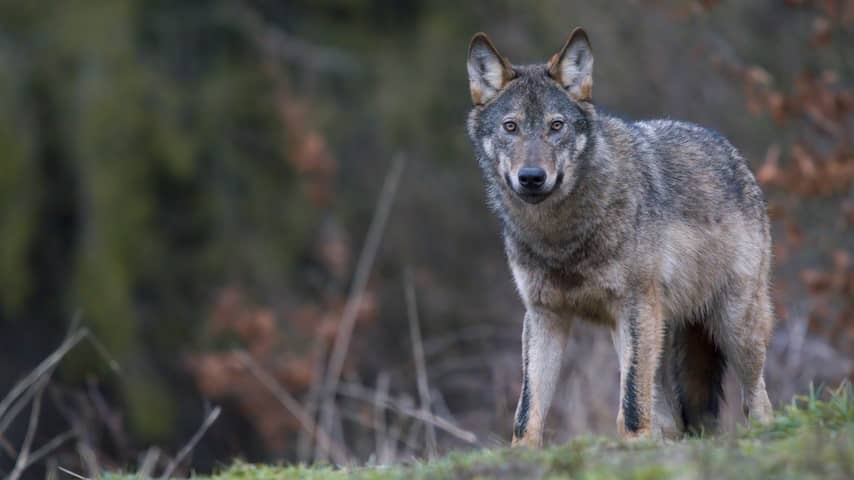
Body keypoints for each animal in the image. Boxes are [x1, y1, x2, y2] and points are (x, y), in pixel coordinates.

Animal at [465, 28, 774, 445]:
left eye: (556, 126)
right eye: (510, 127)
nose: (531, 177)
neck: (561, 238)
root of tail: (731, 152)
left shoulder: (634, 305)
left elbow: (629, 406)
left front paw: (632, 446)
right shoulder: (544, 316)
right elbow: (526, 412)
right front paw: (523, 453)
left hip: (732, 326)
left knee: (758, 399)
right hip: (649, 333)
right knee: (670, 417)